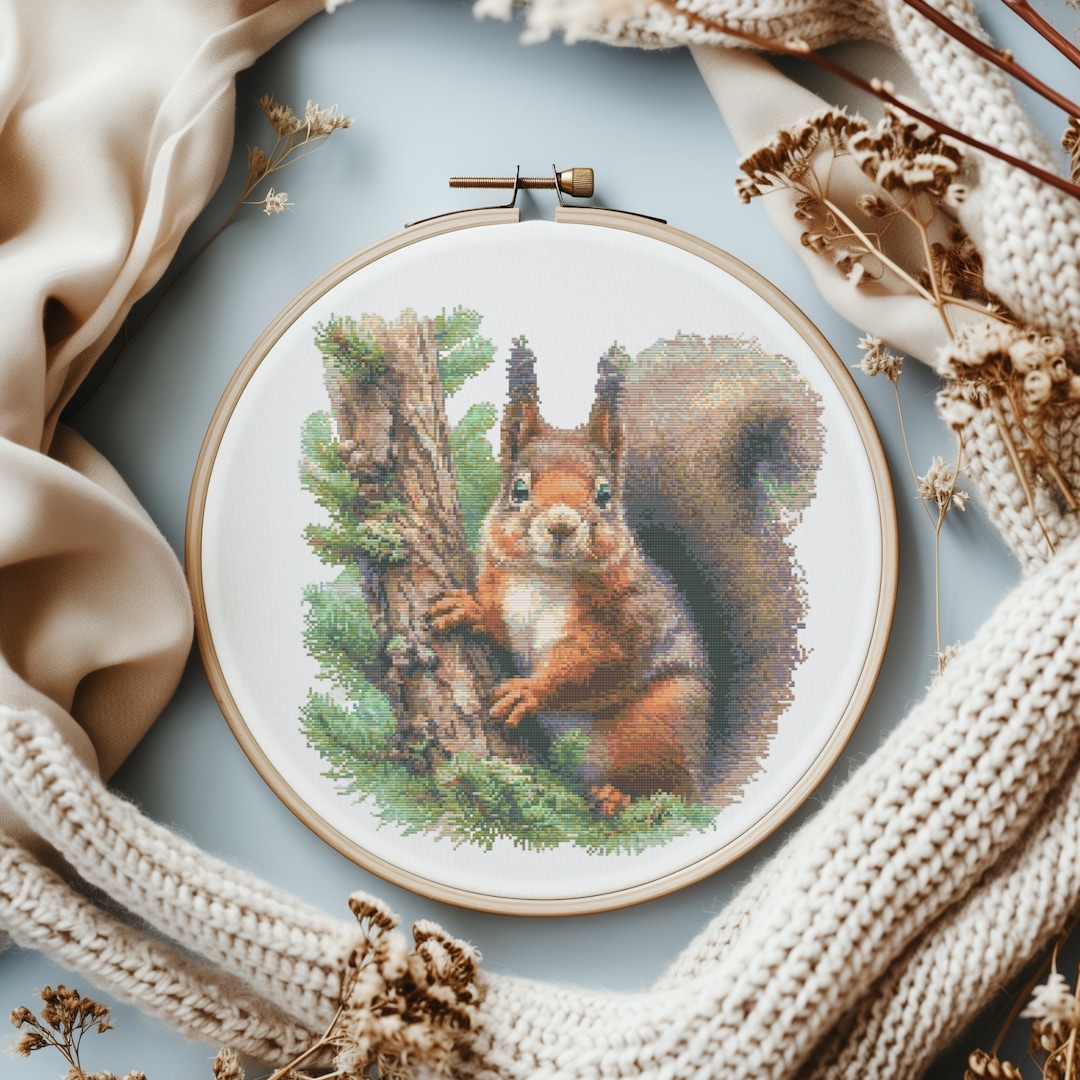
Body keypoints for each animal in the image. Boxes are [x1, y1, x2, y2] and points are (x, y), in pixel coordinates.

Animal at [431, 335, 824, 810]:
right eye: (518, 489)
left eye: (604, 494)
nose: (561, 525)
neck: (545, 578)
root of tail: (702, 779)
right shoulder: (503, 587)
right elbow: (499, 626)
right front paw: (466, 609)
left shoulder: (631, 622)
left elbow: (597, 665)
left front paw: (530, 691)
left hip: (657, 723)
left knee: (661, 790)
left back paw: (617, 797)